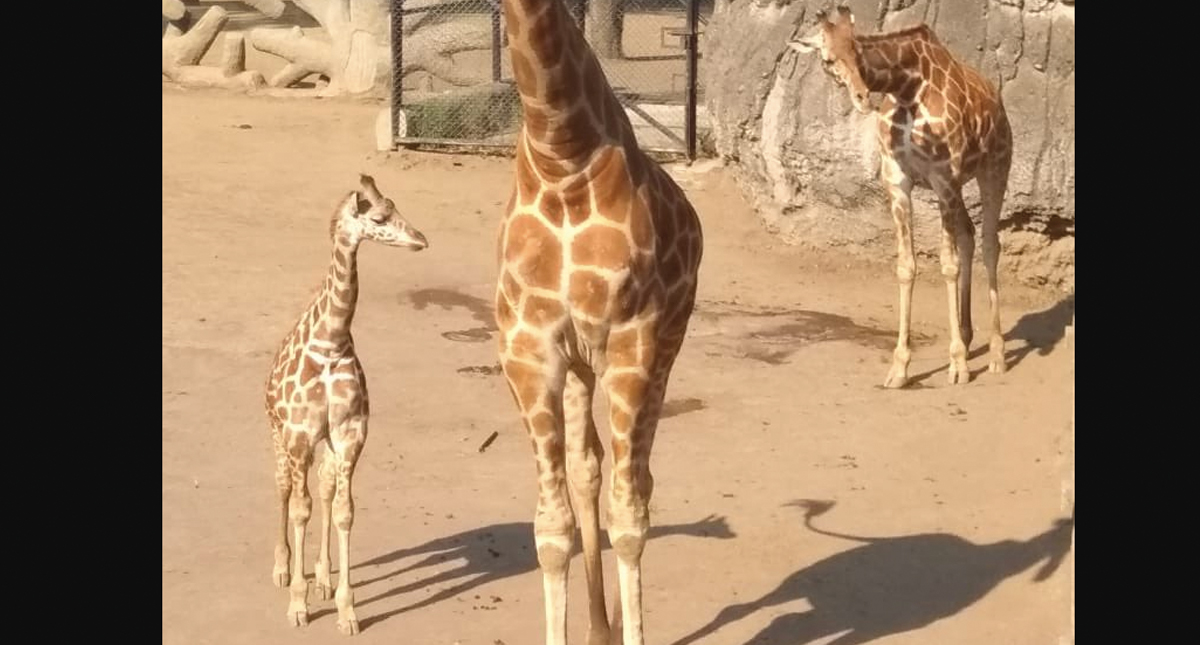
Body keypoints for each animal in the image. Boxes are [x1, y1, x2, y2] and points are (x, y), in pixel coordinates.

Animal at [263, 174, 428, 635]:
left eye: (397, 207)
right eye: (379, 218)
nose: (420, 239)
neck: (331, 341)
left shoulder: (350, 434)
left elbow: (343, 510)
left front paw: (346, 610)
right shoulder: (300, 435)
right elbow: (299, 509)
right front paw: (297, 605)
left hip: (327, 445)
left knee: (324, 487)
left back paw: (321, 577)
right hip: (278, 435)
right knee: (284, 488)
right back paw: (282, 569)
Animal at [494, 0, 704, 643]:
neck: (561, 155)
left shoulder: (633, 338)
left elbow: (630, 518)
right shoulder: (529, 347)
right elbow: (551, 528)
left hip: (664, 346)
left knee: (639, 481)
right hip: (582, 366)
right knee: (590, 468)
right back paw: (597, 629)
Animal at [789, 5, 1014, 388]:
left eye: (858, 50)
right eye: (829, 59)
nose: (863, 97)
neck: (908, 90)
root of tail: (997, 101)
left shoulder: (943, 176)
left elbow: (948, 265)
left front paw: (957, 366)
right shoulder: (898, 180)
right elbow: (906, 266)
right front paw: (899, 368)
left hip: (994, 170)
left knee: (989, 244)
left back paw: (996, 354)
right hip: (960, 185)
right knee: (968, 236)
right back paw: (968, 338)